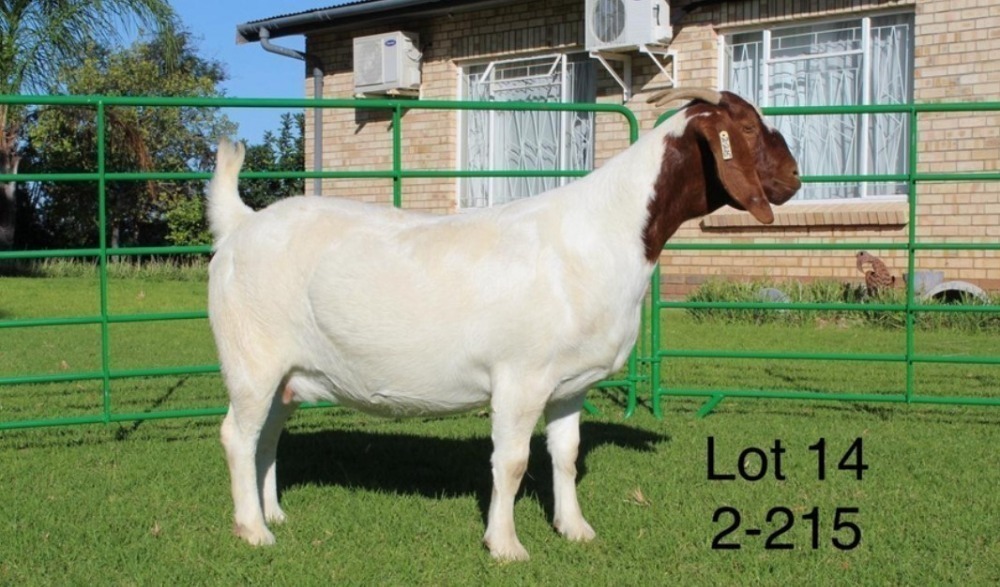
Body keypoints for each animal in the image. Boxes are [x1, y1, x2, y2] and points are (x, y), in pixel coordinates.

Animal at [207, 89, 800, 561]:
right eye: (748, 128)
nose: (795, 177)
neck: (603, 232)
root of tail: (240, 224)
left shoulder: (570, 384)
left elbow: (565, 456)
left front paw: (575, 528)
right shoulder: (520, 377)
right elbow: (511, 462)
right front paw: (506, 545)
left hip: (288, 374)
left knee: (267, 437)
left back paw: (273, 513)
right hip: (251, 359)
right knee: (238, 436)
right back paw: (253, 531)